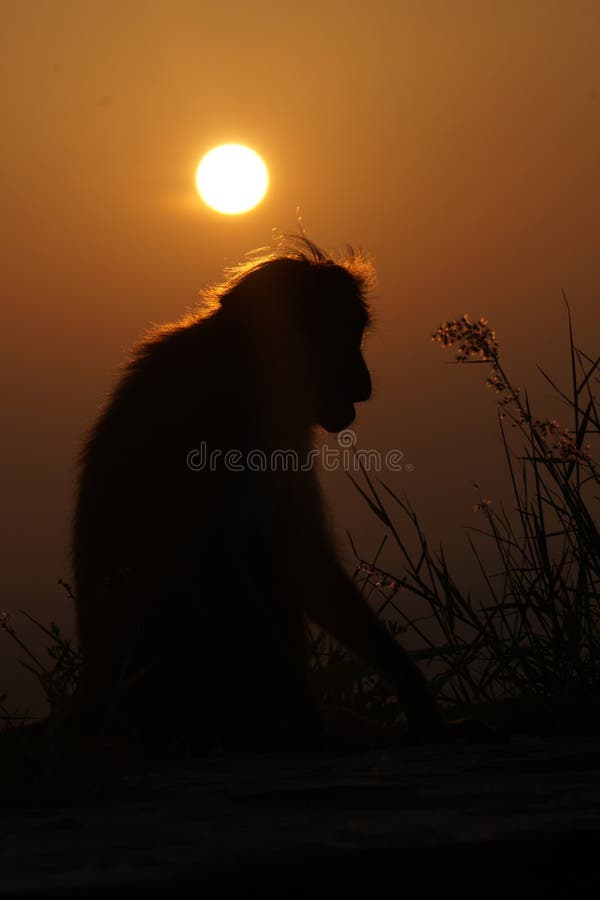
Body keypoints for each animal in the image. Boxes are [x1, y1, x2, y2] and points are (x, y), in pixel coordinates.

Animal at [71, 235, 448, 753]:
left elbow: (300, 555)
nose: (364, 384)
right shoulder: (218, 414)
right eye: (345, 340)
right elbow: (211, 567)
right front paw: (308, 723)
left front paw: (412, 689)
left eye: (358, 334)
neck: (240, 361)